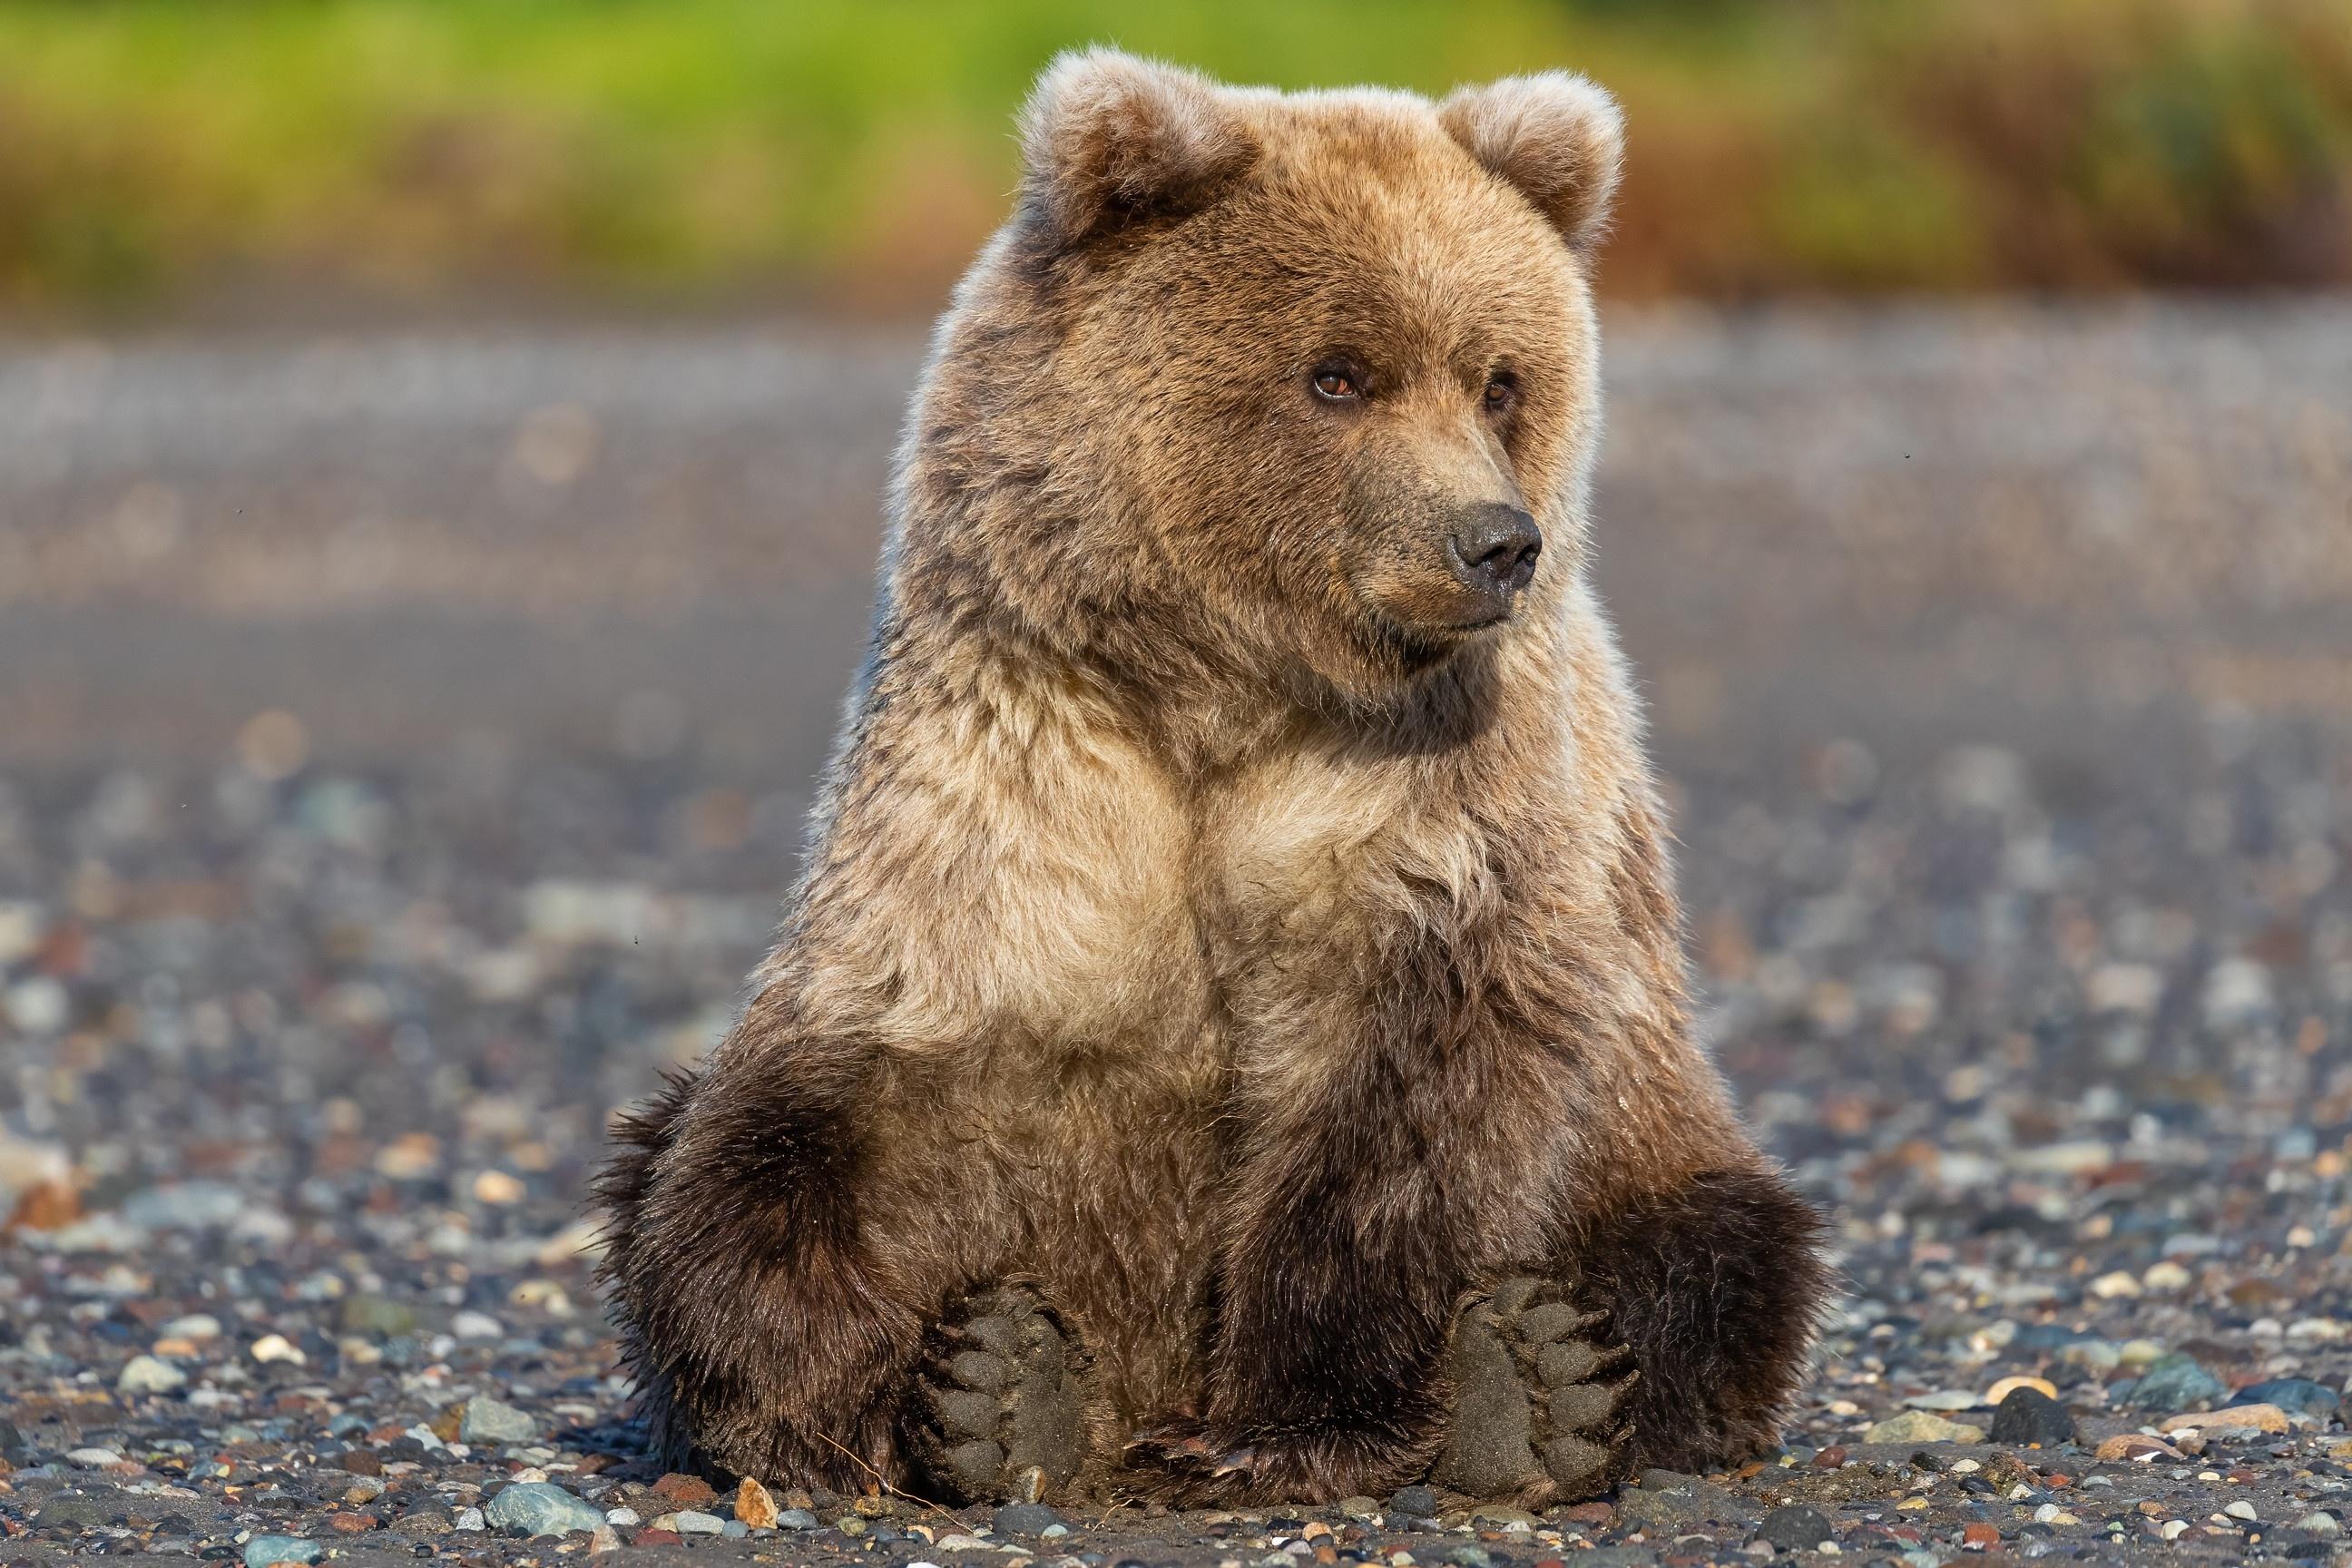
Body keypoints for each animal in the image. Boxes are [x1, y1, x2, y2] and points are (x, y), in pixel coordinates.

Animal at [594, 49, 1832, 1509]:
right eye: (1339, 375)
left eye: (1499, 379)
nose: (1495, 543)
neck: (1225, 696)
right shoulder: (1017, 783)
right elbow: (793, 1137)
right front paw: (867, 1389)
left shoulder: (1440, 816)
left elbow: (1407, 1110)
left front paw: (1291, 1423)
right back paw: (1017, 1396)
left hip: (1653, 1128)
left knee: (1720, 1249)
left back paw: (1536, 1382)